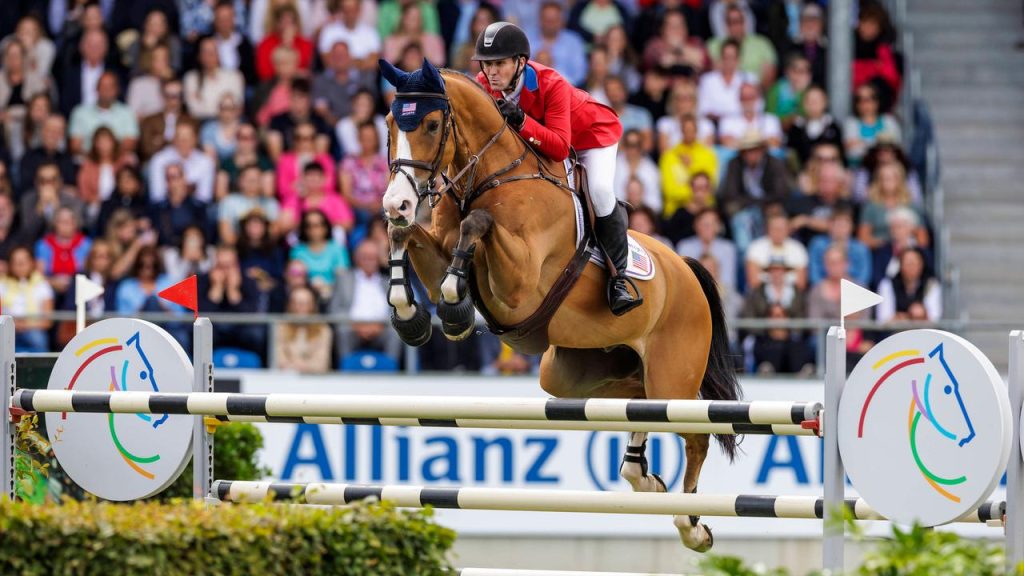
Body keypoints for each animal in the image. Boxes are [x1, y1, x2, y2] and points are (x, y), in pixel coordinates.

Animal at [380, 59, 741, 553]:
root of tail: (685, 270)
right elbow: (404, 236)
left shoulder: (519, 283)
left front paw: (455, 313)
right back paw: (644, 478)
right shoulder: (437, 257)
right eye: (390, 123)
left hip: (675, 377)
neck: (488, 176)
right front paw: (412, 317)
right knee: (639, 399)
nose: (396, 202)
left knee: (695, 437)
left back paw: (692, 526)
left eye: (433, 124)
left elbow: (479, 223)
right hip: (574, 374)